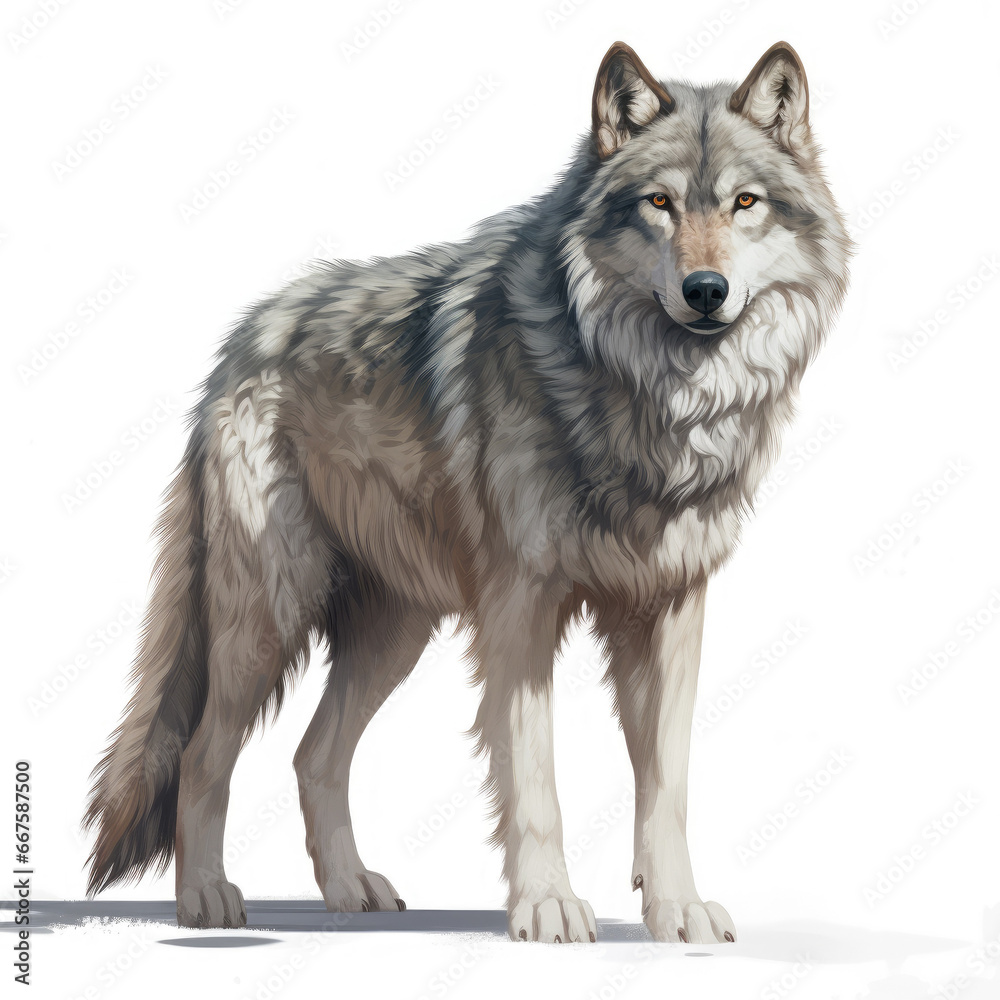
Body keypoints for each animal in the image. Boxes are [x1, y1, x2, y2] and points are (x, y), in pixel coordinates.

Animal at [84, 40, 850, 943]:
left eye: (745, 204)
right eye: (659, 203)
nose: (705, 291)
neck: (648, 395)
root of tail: (238, 344)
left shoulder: (670, 608)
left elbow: (667, 786)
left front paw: (679, 911)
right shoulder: (521, 608)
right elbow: (536, 780)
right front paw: (548, 906)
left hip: (395, 631)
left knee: (313, 755)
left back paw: (349, 890)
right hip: (268, 616)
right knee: (206, 754)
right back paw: (206, 899)